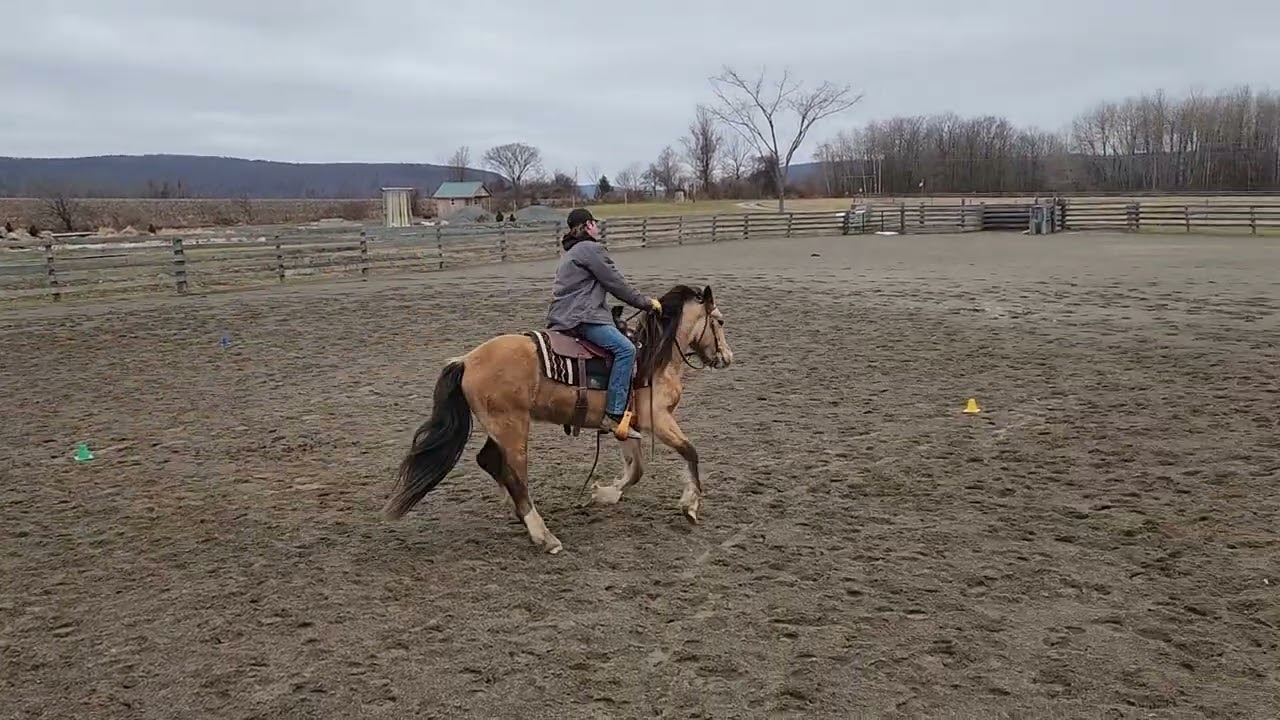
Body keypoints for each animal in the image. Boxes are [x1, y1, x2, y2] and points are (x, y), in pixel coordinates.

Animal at [381, 283, 734, 554]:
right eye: (718, 320)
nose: (727, 358)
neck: (651, 356)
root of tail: (466, 360)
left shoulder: (626, 426)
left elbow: (636, 470)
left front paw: (603, 494)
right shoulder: (657, 420)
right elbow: (690, 452)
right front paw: (690, 506)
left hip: (499, 427)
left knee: (490, 461)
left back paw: (515, 509)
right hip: (512, 428)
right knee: (514, 475)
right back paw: (543, 535)